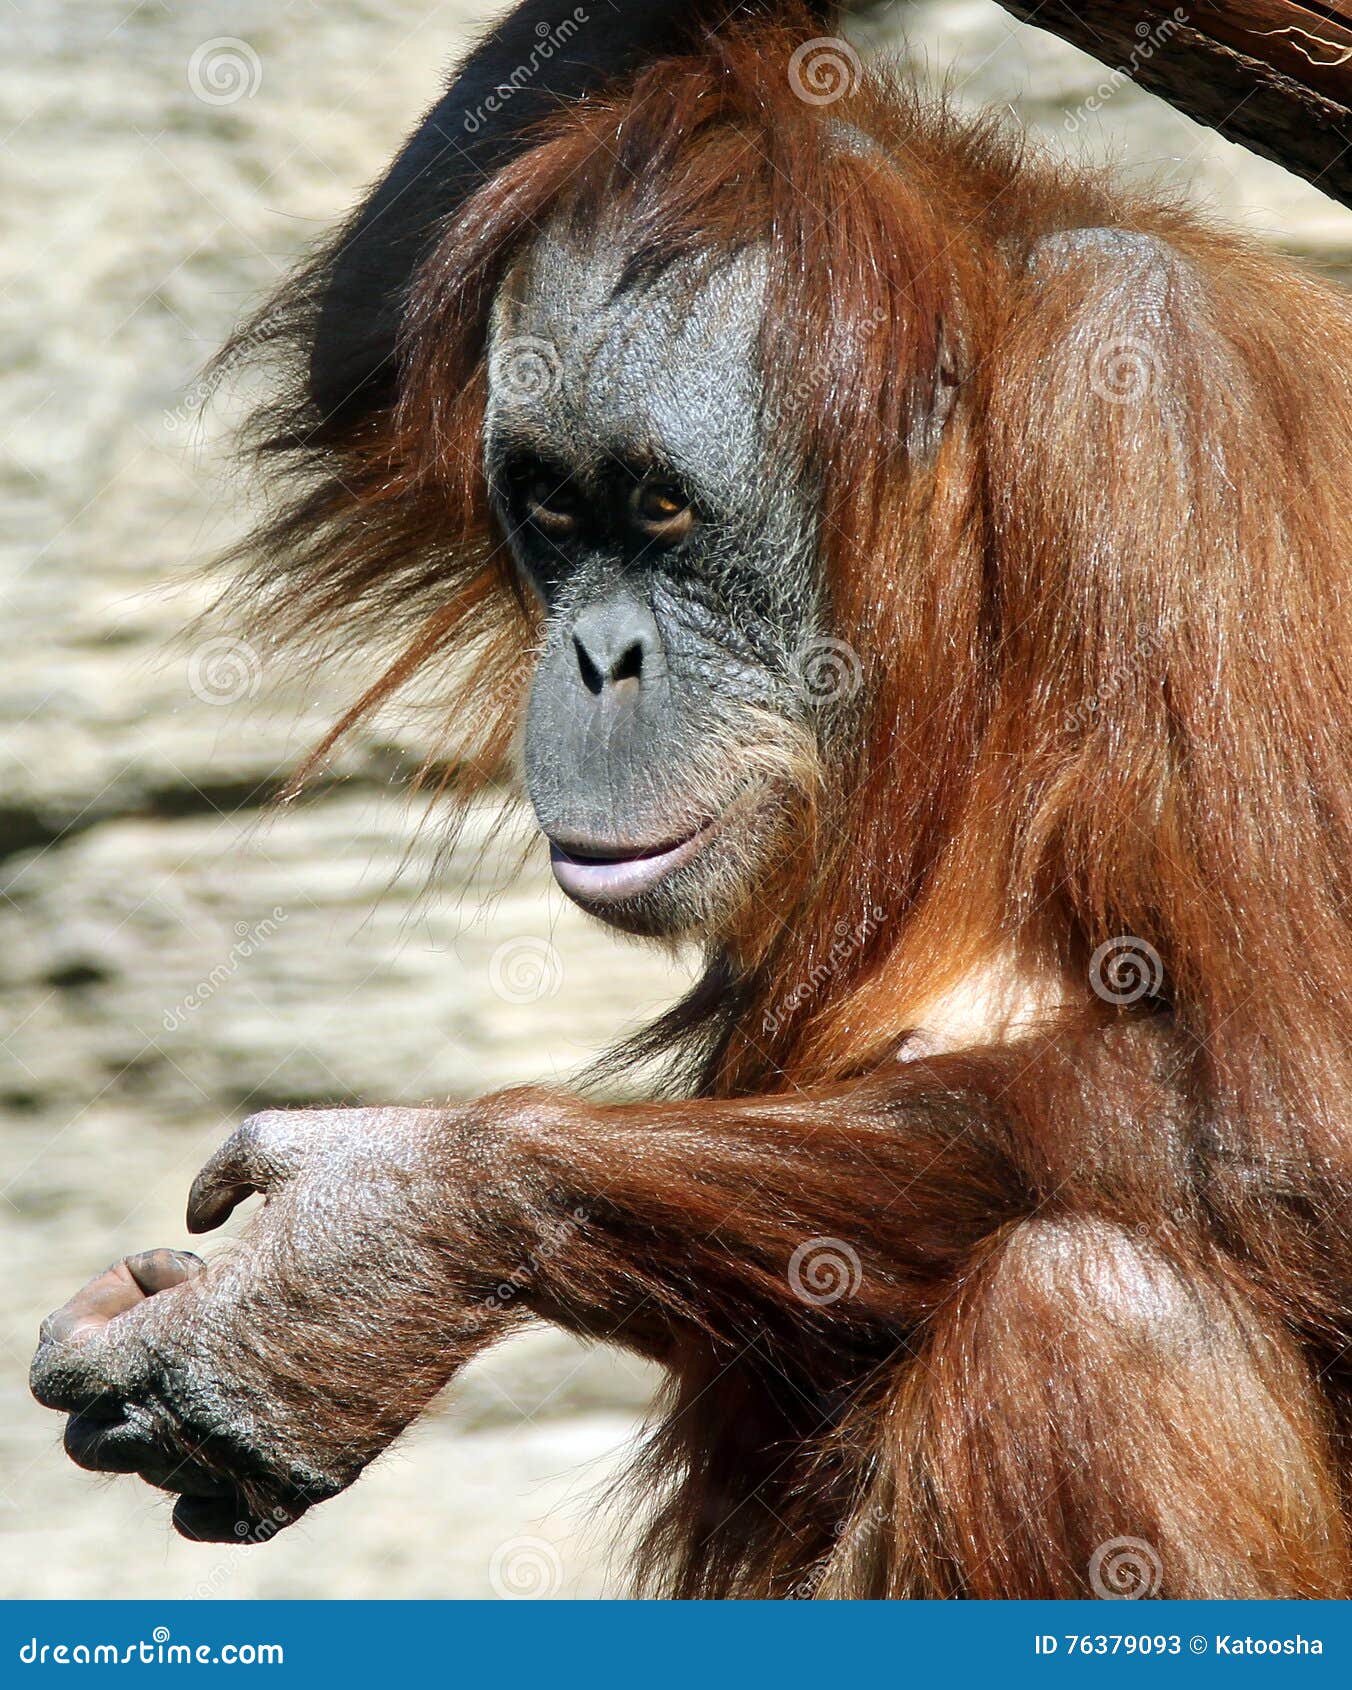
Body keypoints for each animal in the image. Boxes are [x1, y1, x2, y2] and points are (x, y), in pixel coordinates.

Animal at [30, 4, 1352, 1597]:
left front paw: (385, 1232)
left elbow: (1291, 1127)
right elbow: (359, 352)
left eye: (660, 508)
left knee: (1089, 1302)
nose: (597, 656)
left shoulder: (1160, 407)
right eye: (552, 509)